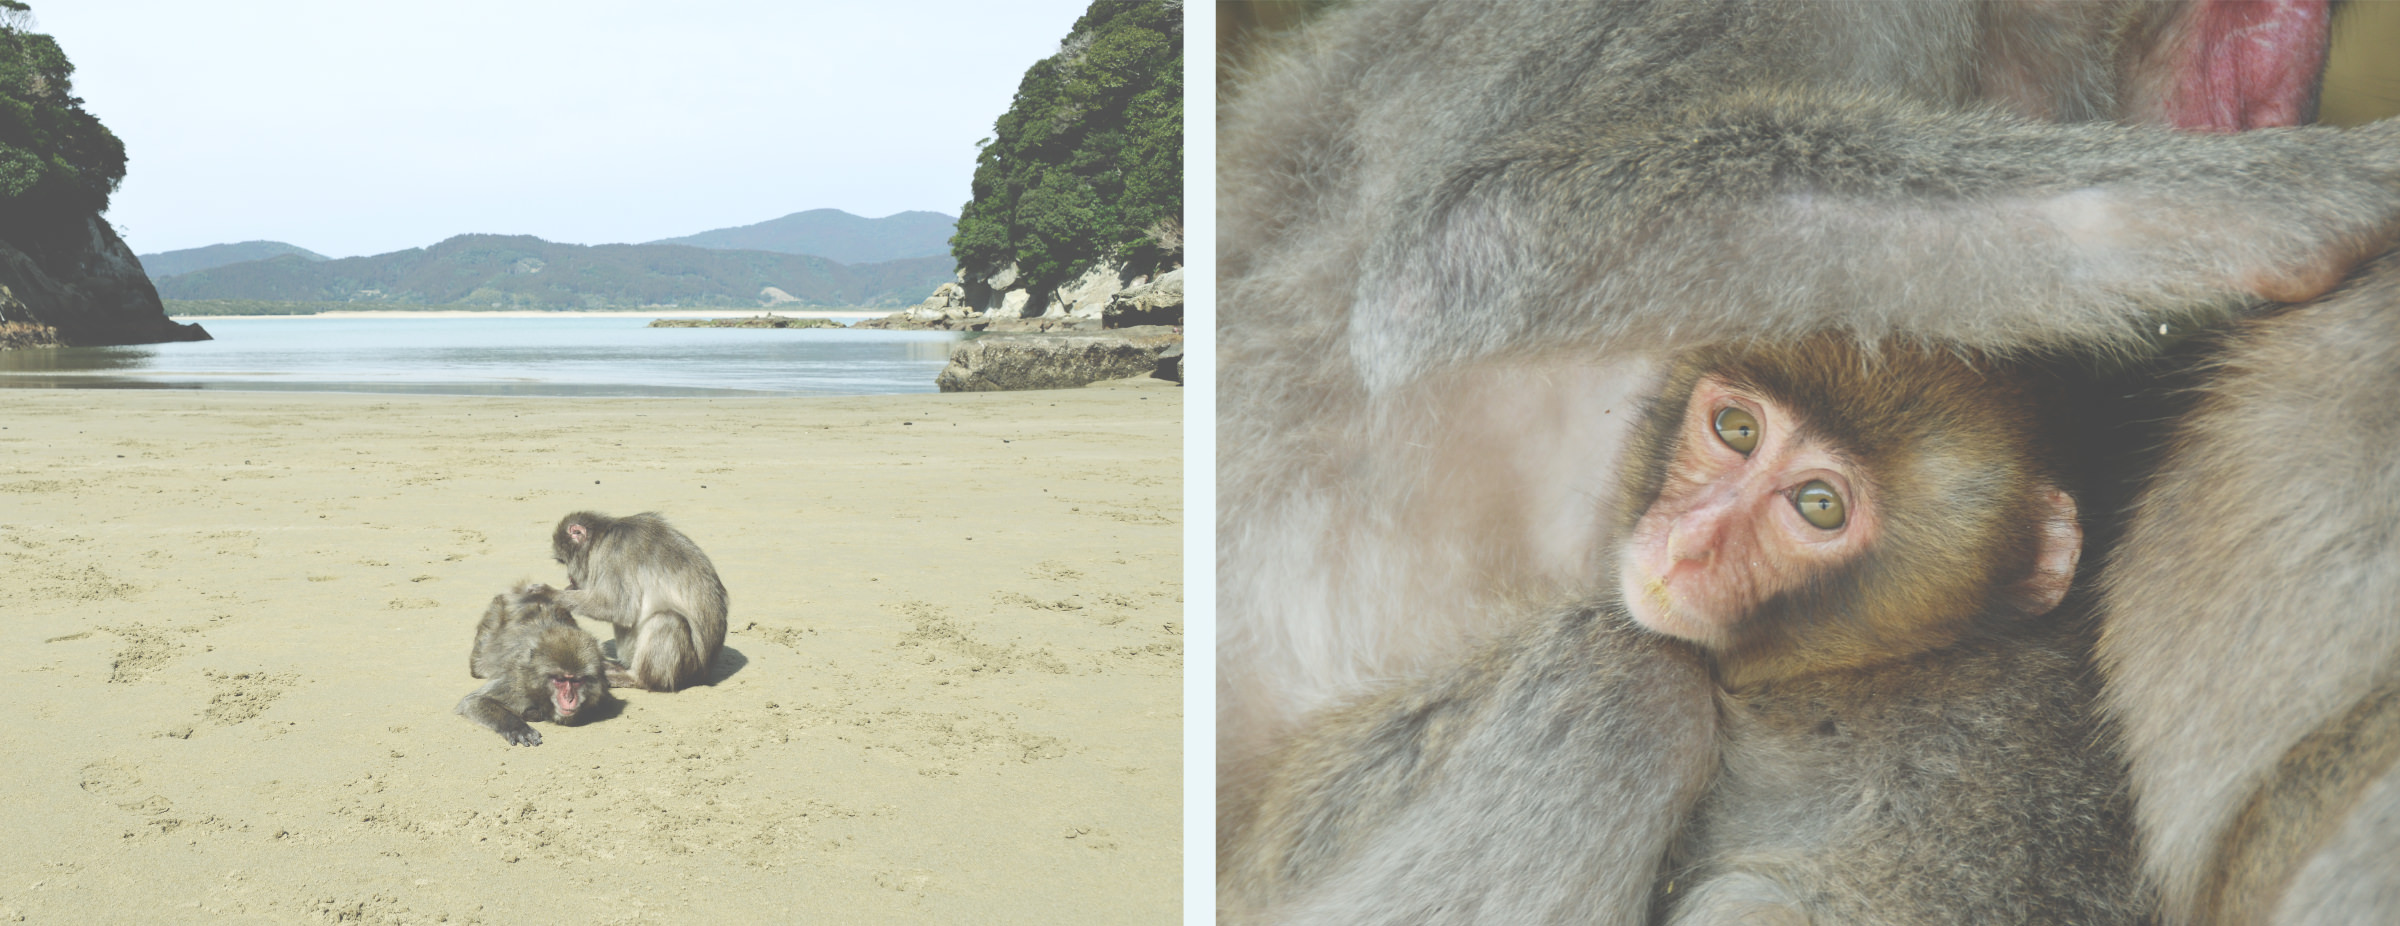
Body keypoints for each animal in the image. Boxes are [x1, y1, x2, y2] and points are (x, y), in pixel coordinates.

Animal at [456, 581, 609, 747]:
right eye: (560, 680)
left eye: (576, 680)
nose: (569, 698)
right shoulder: (516, 684)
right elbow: (473, 701)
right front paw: (517, 727)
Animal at [550, 511, 728, 692]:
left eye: (564, 562)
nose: (569, 577)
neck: (603, 535)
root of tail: (702, 675)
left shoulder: (614, 552)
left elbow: (617, 607)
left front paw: (549, 594)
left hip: (687, 668)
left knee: (667, 619)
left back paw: (637, 679)